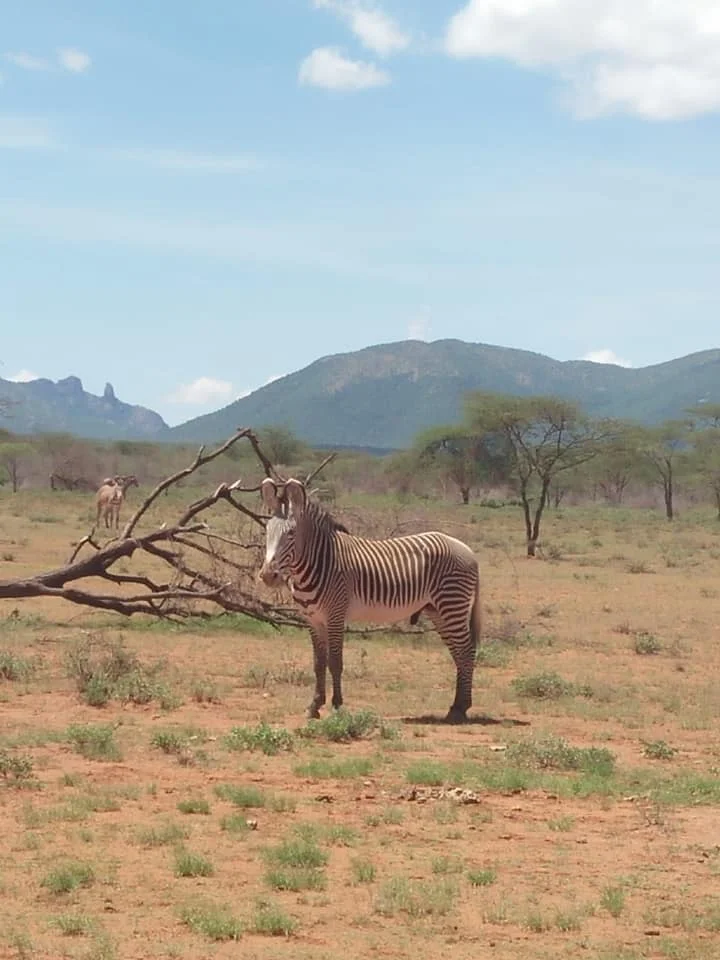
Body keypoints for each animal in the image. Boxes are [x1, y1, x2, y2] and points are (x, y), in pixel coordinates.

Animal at [259, 477, 482, 723]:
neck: (319, 562)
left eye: (291, 533)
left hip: (452, 605)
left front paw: (337, 706)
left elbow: (335, 662)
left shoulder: (335, 615)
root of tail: (467, 549)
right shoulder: (313, 620)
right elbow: (318, 664)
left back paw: (461, 709)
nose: (268, 575)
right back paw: (457, 706)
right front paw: (314, 705)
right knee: (459, 653)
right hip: (439, 611)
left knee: (467, 651)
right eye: (267, 531)